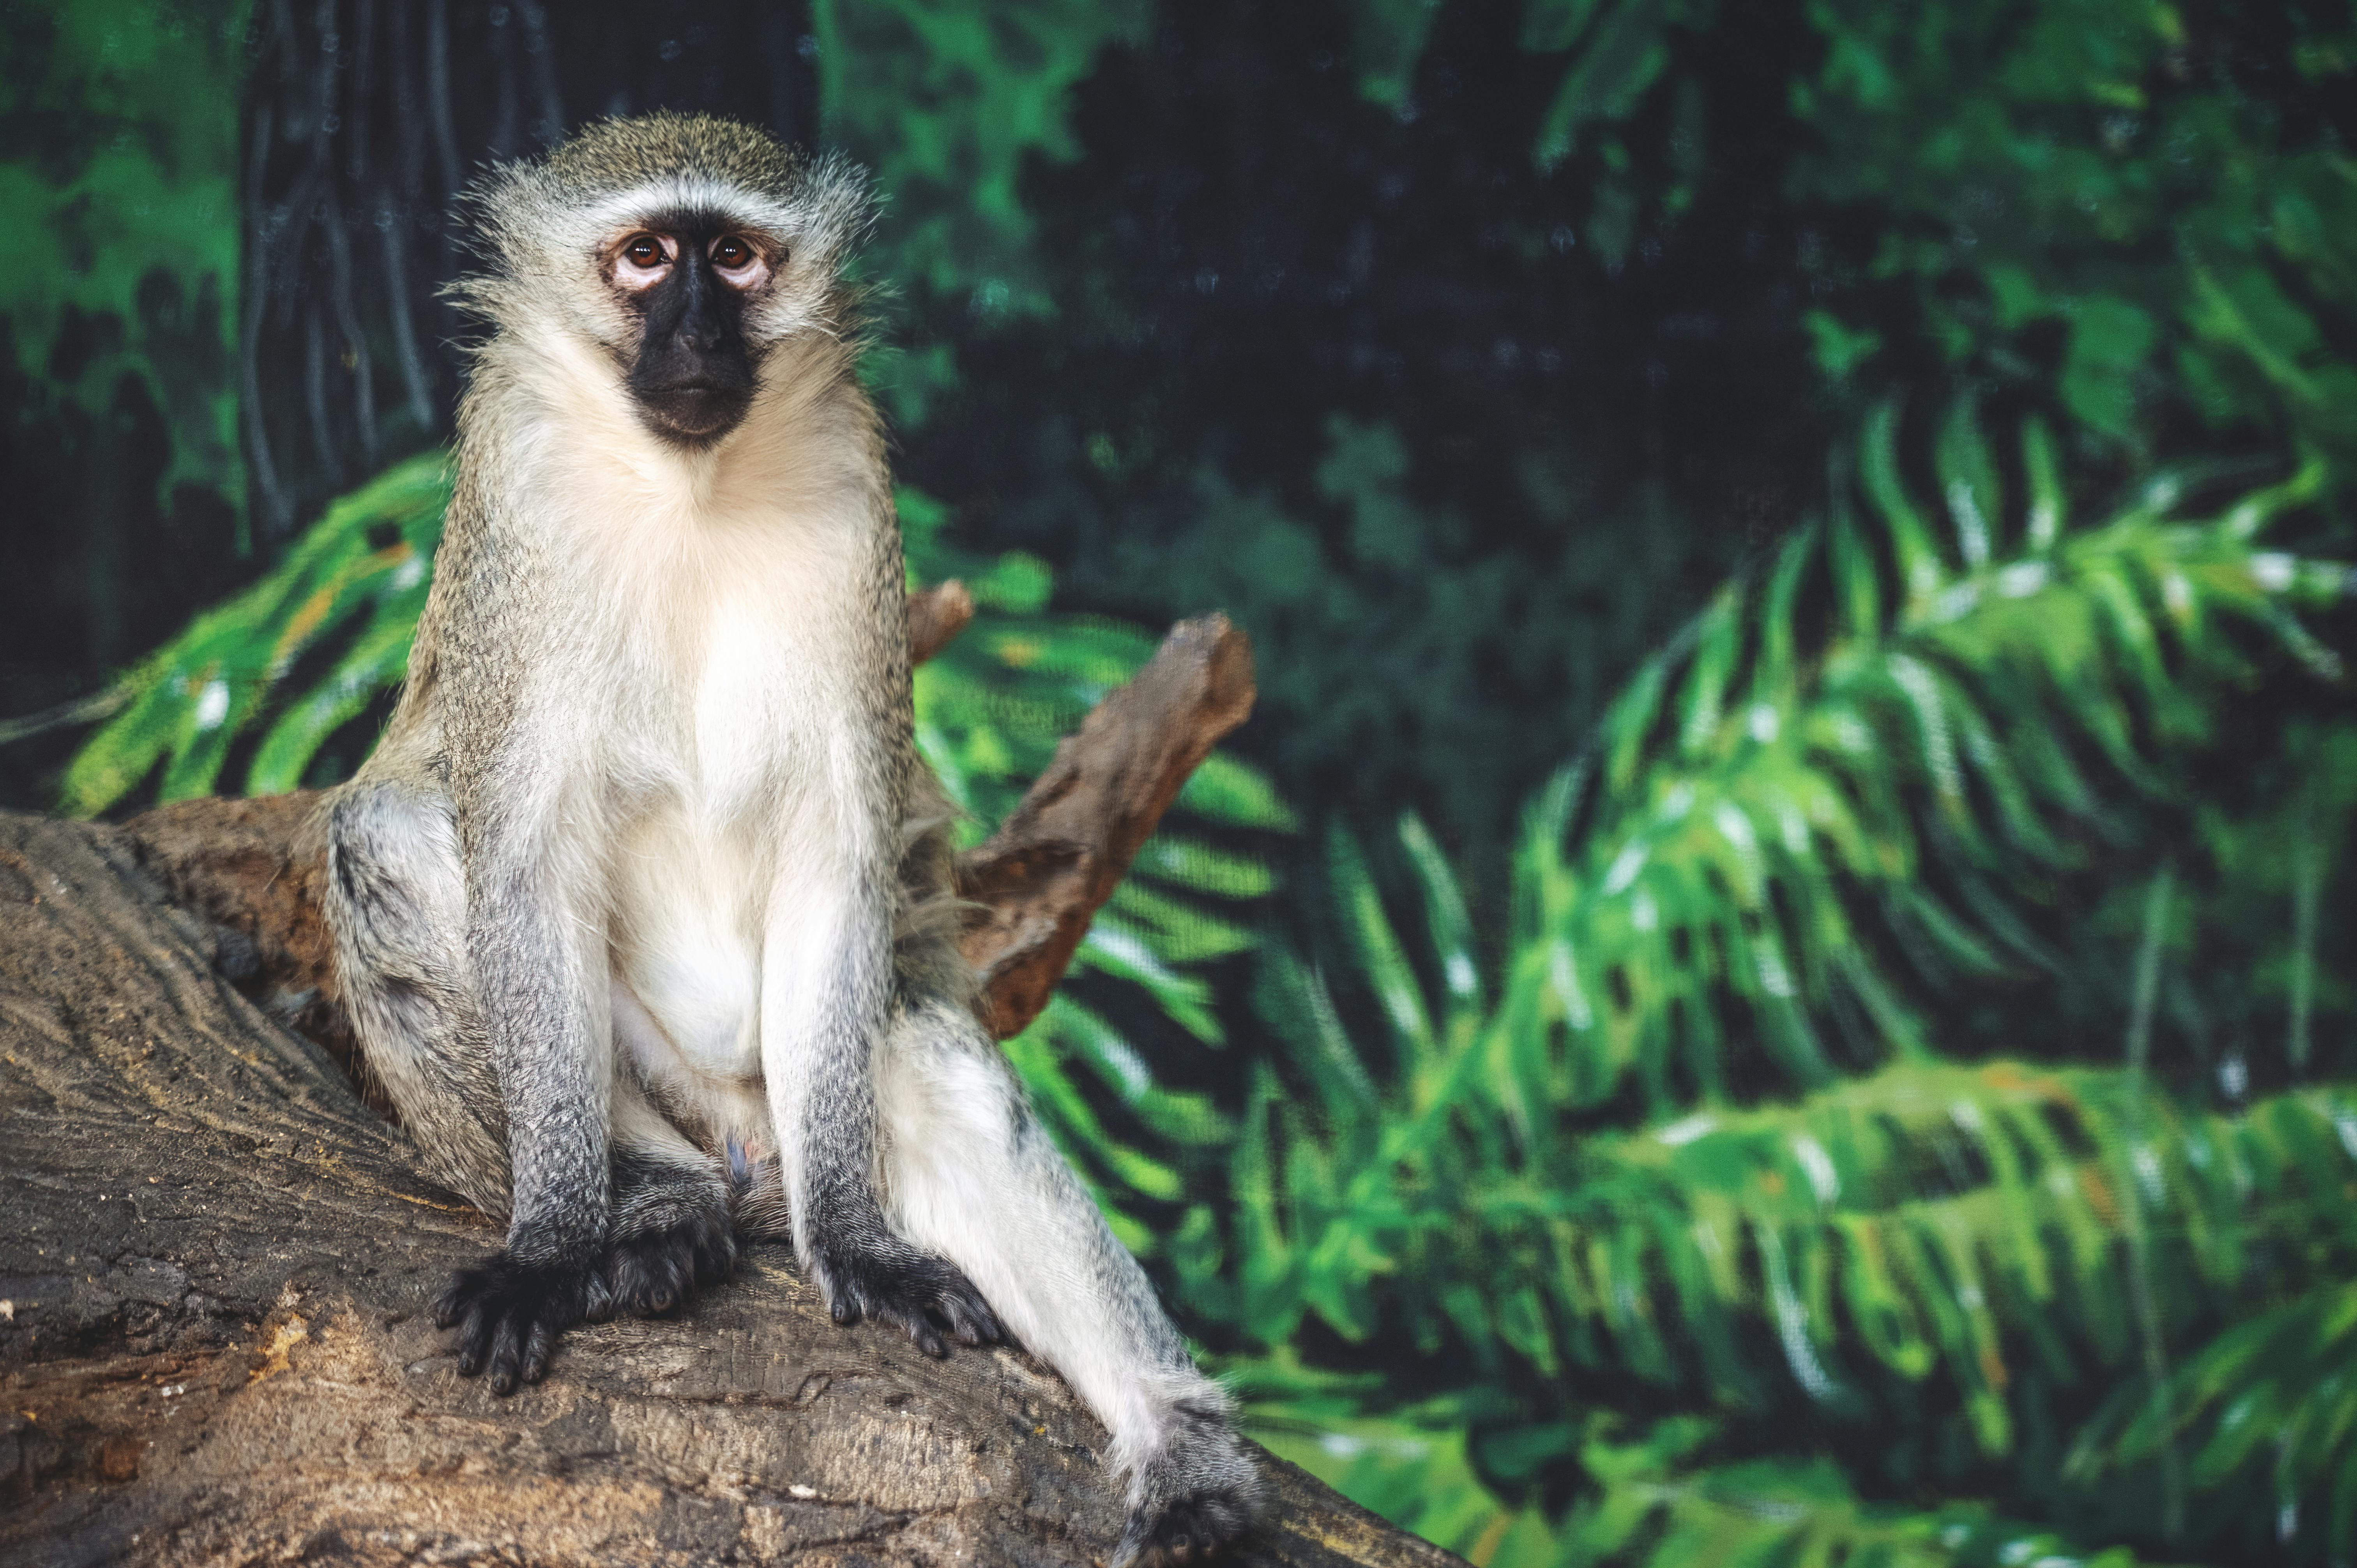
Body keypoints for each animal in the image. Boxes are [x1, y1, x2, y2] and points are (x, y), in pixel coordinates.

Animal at [318, 113, 1262, 1564]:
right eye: (646, 258)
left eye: (737, 261)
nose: (698, 333)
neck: (690, 487)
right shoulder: (515, 493)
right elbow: (520, 863)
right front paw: (555, 1244)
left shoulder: (857, 500)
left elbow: (839, 865)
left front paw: (860, 1246)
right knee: (390, 836)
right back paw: (656, 1208)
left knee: (933, 1062)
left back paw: (1183, 1447)